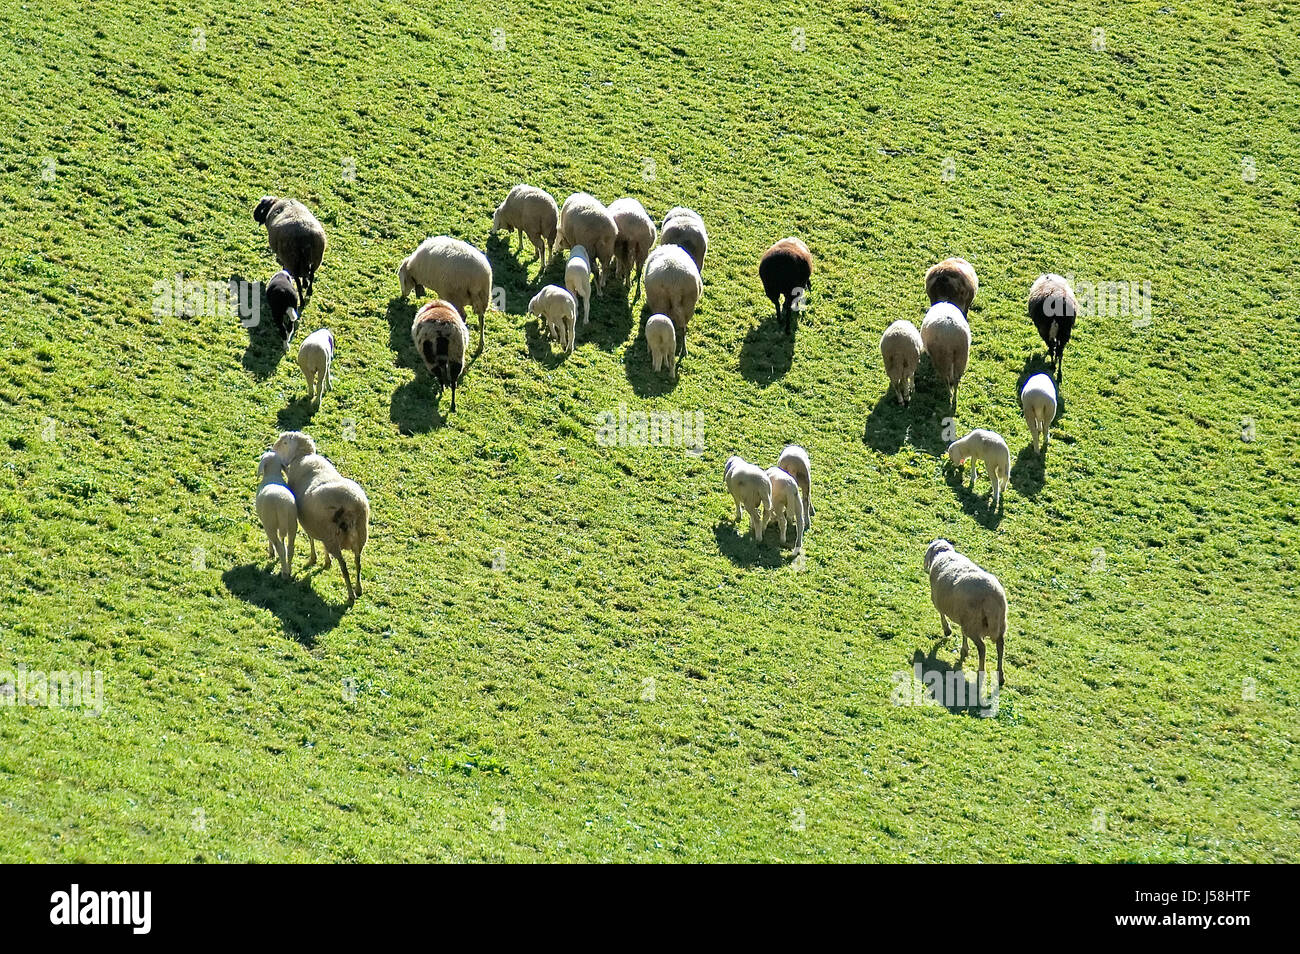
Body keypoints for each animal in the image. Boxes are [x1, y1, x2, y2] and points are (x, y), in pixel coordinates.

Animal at [255, 451, 297, 580]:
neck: (273, 474)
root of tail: (281, 505)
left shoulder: (266, 521)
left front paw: (271, 553)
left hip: (270, 524)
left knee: (279, 546)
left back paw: (284, 573)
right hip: (292, 523)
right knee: (290, 547)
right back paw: (289, 570)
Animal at [272, 431, 370, 604]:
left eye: (284, 443)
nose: (272, 449)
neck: (303, 457)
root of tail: (351, 505)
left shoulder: (307, 520)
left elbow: (310, 538)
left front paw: (314, 559)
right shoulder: (319, 525)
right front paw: (325, 561)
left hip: (334, 537)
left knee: (344, 566)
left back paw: (350, 594)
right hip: (359, 534)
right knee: (358, 562)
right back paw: (358, 589)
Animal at [924, 539, 1007, 686]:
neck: (943, 553)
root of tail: (991, 597)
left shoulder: (938, 600)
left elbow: (942, 615)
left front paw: (947, 630)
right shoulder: (963, 616)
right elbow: (963, 633)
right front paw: (964, 649)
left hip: (974, 623)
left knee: (982, 648)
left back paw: (981, 671)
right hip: (998, 624)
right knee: (1000, 646)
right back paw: (1001, 675)